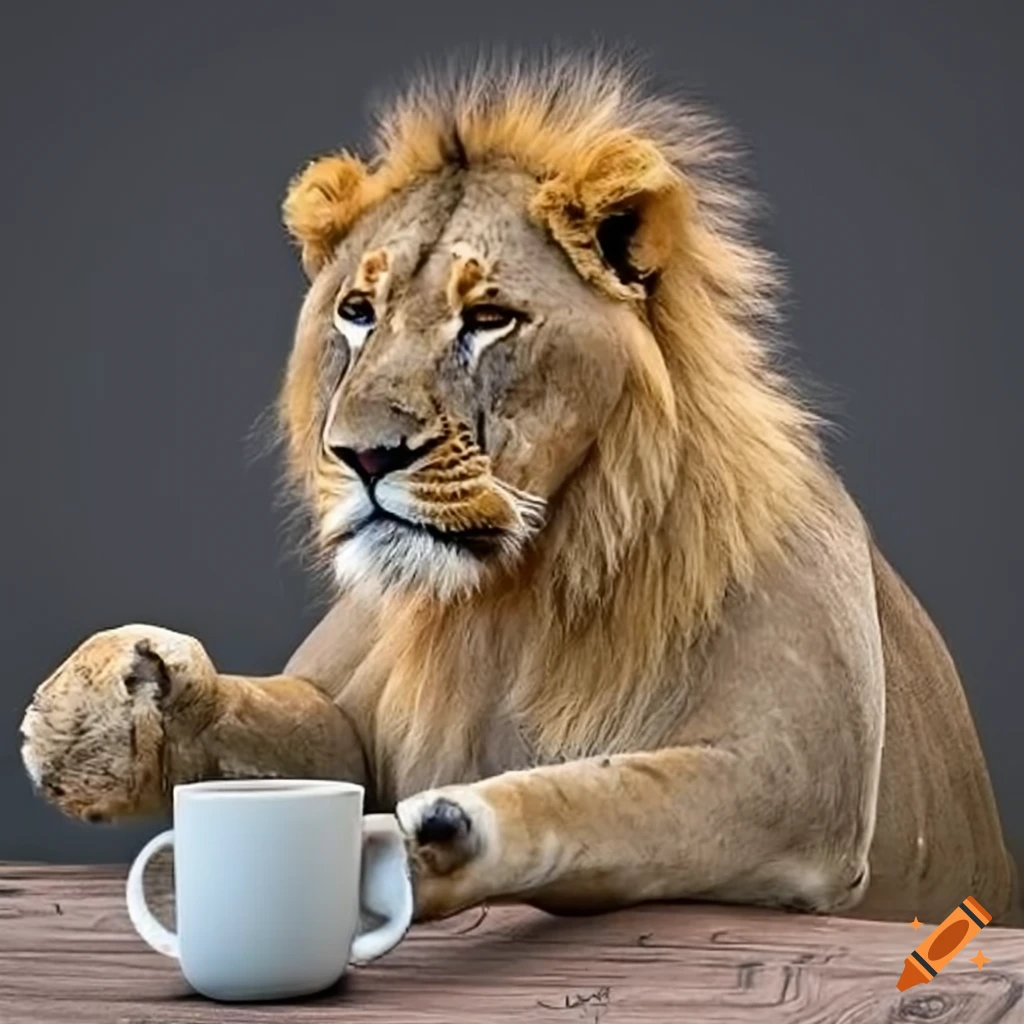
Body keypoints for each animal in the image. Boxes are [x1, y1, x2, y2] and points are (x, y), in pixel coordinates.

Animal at [20, 56, 1020, 927]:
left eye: (489, 318)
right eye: (357, 312)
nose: (364, 456)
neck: (511, 593)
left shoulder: (796, 786)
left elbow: (614, 799)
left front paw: (442, 839)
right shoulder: (346, 722)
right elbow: (277, 723)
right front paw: (103, 706)